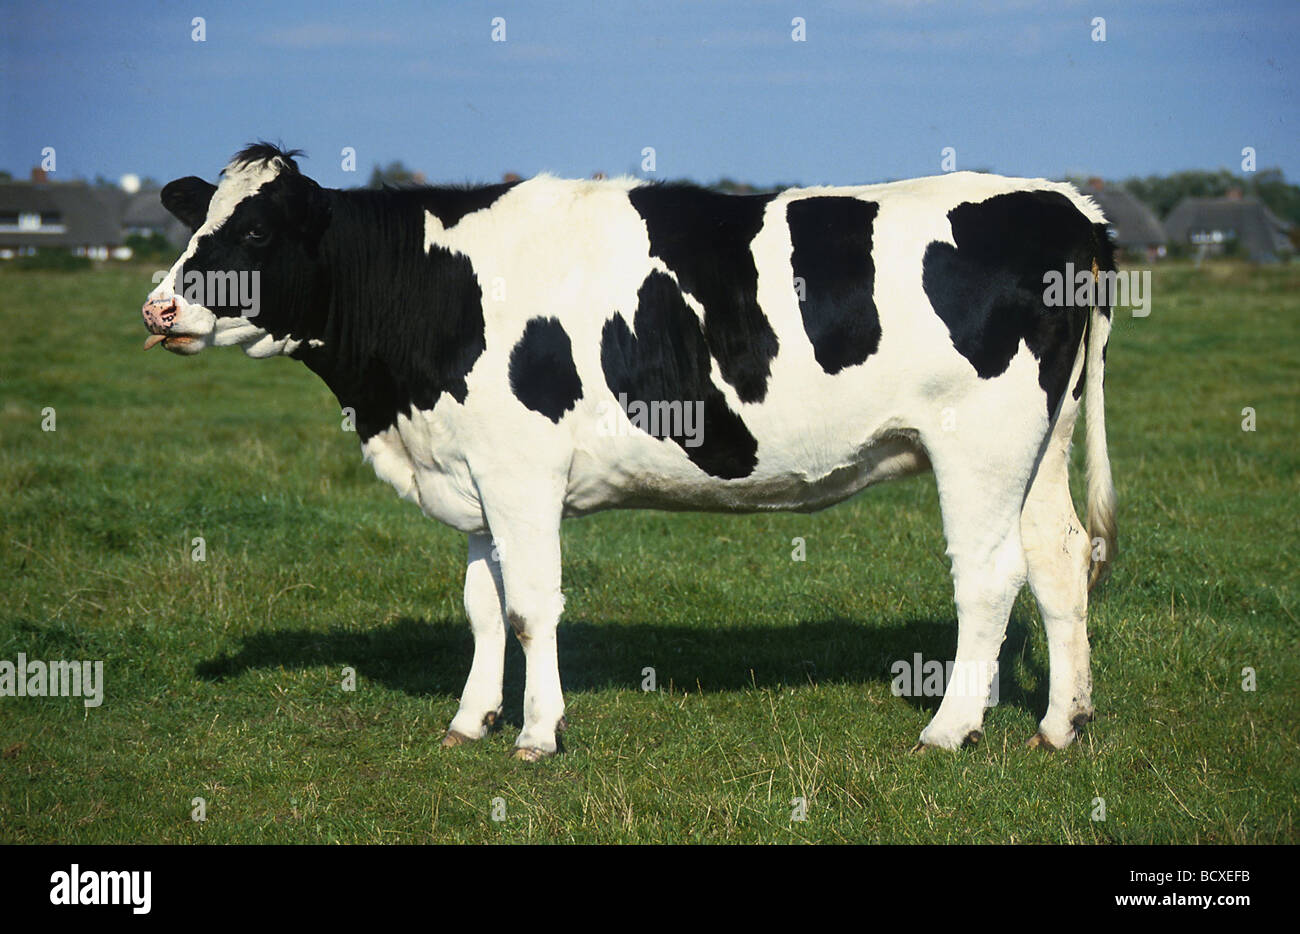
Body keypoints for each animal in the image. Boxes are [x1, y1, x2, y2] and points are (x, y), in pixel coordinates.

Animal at [142, 143, 1116, 761]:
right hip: (1042, 442)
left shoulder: (522, 471)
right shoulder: (474, 476)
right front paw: (470, 720)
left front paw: (538, 734)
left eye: (256, 232)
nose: (158, 307)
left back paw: (950, 729)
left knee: (989, 577)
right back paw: (1061, 725)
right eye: (199, 224)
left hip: (979, 443)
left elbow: (530, 607)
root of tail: (1064, 202)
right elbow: (483, 607)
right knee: (1059, 557)